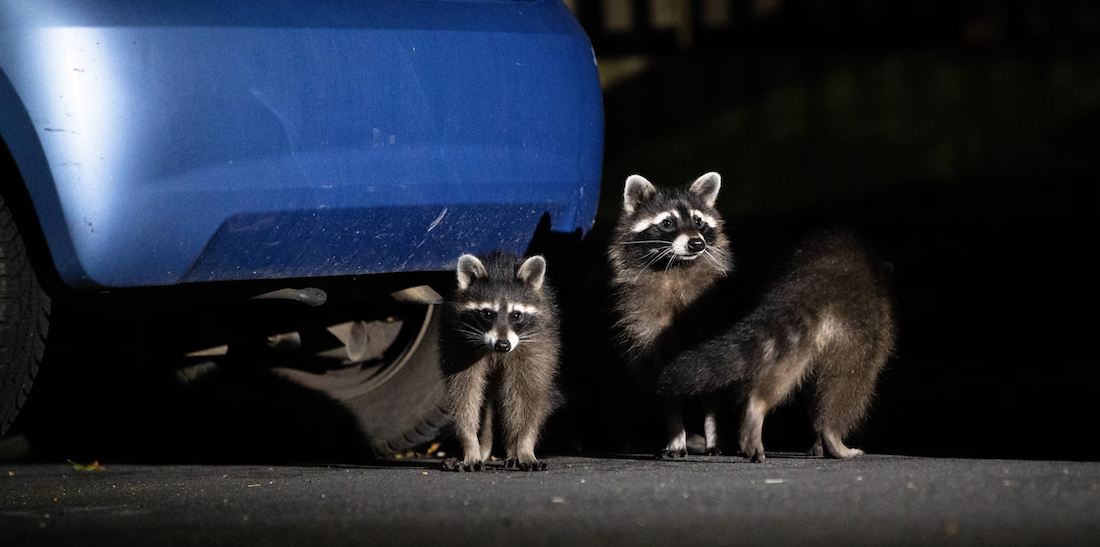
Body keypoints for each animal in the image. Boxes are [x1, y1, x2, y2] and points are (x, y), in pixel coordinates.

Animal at [440, 251, 560, 472]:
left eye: (516, 315)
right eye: (488, 313)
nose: (503, 345)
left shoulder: (535, 345)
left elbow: (529, 397)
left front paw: (525, 446)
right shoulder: (458, 343)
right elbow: (464, 395)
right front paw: (470, 446)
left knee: (513, 402)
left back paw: (513, 451)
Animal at [609, 173, 896, 462]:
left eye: (698, 221)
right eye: (667, 223)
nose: (697, 243)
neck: (674, 268)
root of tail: (815, 281)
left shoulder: (712, 316)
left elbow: (709, 389)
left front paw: (712, 432)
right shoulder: (645, 326)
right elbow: (664, 388)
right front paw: (675, 432)